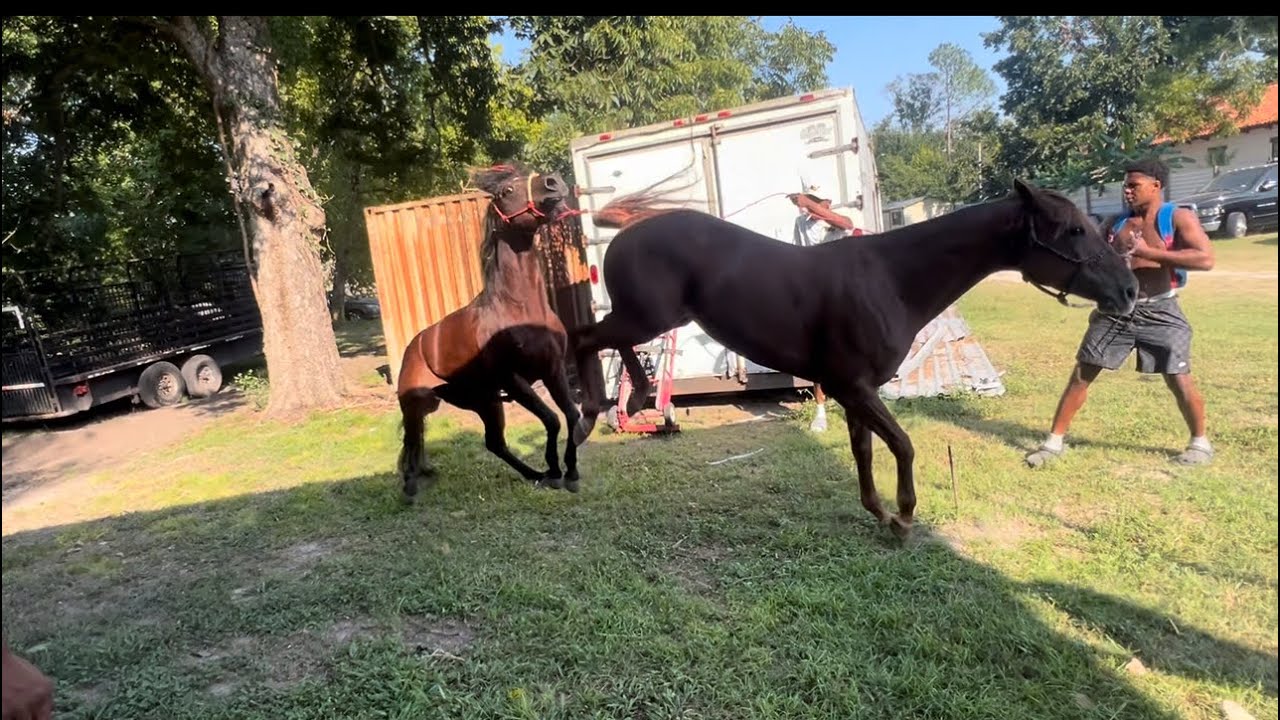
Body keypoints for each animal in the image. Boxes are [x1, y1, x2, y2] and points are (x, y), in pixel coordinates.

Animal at [396, 163, 588, 503]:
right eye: (506, 191)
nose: (554, 183)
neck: (519, 310)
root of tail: (414, 346)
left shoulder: (552, 370)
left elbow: (571, 416)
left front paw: (570, 473)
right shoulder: (513, 379)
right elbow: (551, 419)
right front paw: (555, 472)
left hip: (483, 401)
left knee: (494, 443)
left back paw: (533, 475)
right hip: (416, 405)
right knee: (412, 440)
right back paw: (409, 486)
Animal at [570, 178, 1139, 538]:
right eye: (1073, 230)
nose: (1130, 290)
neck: (890, 278)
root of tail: (629, 228)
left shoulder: (854, 391)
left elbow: (864, 451)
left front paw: (879, 512)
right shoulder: (854, 387)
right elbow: (903, 446)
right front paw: (905, 517)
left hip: (645, 318)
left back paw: (630, 400)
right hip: (645, 317)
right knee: (583, 338)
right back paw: (595, 413)